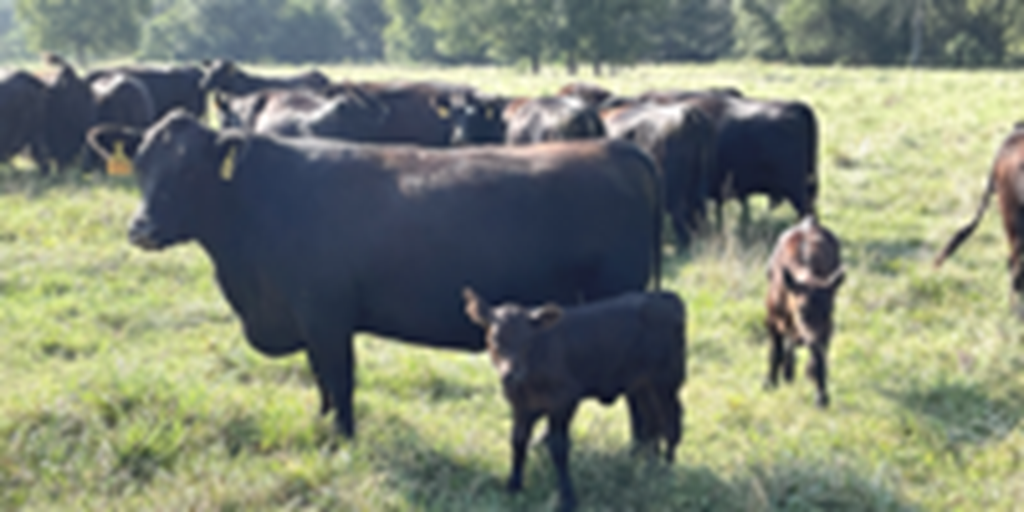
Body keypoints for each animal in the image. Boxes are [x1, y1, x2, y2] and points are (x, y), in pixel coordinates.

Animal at [87, 109, 663, 438]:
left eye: (190, 168)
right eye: (140, 163)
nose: (141, 227)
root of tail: (617, 148)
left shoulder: (325, 314)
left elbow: (339, 379)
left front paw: (343, 442)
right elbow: (322, 381)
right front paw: (322, 429)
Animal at [463, 288, 686, 512]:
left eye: (528, 339)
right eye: (494, 339)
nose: (511, 374)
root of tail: (663, 296)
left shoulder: (563, 400)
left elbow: (558, 447)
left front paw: (567, 497)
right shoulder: (521, 405)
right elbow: (518, 440)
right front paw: (513, 486)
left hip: (666, 382)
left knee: (671, 423)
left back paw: (667, 470)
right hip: (643, 387)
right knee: (652, 424)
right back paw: (650, 467)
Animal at [764, 215, 844, 408]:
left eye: (830, 310)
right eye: (801, 310)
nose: (813, 340)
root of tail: (809, 222)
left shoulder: (827, 329)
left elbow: (819, 359)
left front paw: (821, 396)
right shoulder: (771, 321)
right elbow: (775, 352)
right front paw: (770, 382)